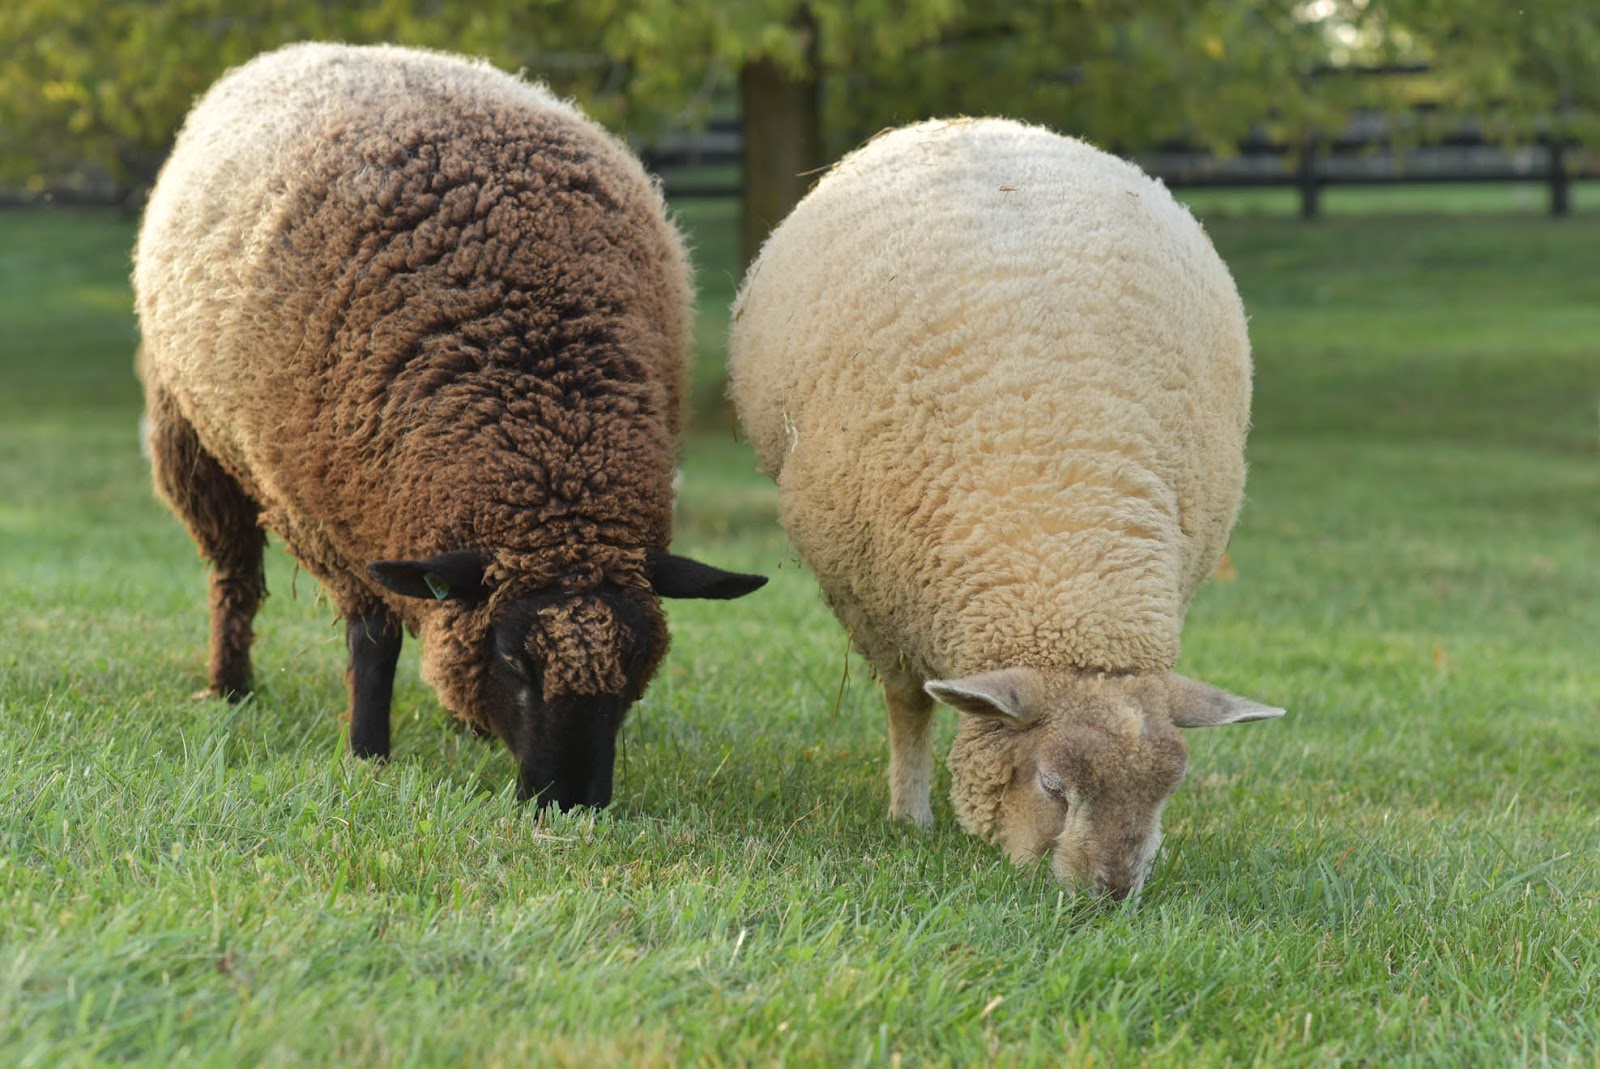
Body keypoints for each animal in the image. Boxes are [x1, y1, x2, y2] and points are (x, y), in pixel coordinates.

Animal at [133, 42, 765, 809]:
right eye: (513, 659)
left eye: (639, 657)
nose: (571, 802)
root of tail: (315, 49)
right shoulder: (333, 519)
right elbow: (373, 641)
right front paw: (367, 755)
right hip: (193, 441)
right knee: (233, 574)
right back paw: (228, 688)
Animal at [727, 117, 1284, 899]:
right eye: (1054, 787)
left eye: (1167, 793)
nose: (1109, 897)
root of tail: (974, 122)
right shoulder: (877, 600)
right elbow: (909, 706)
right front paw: (910, 816)